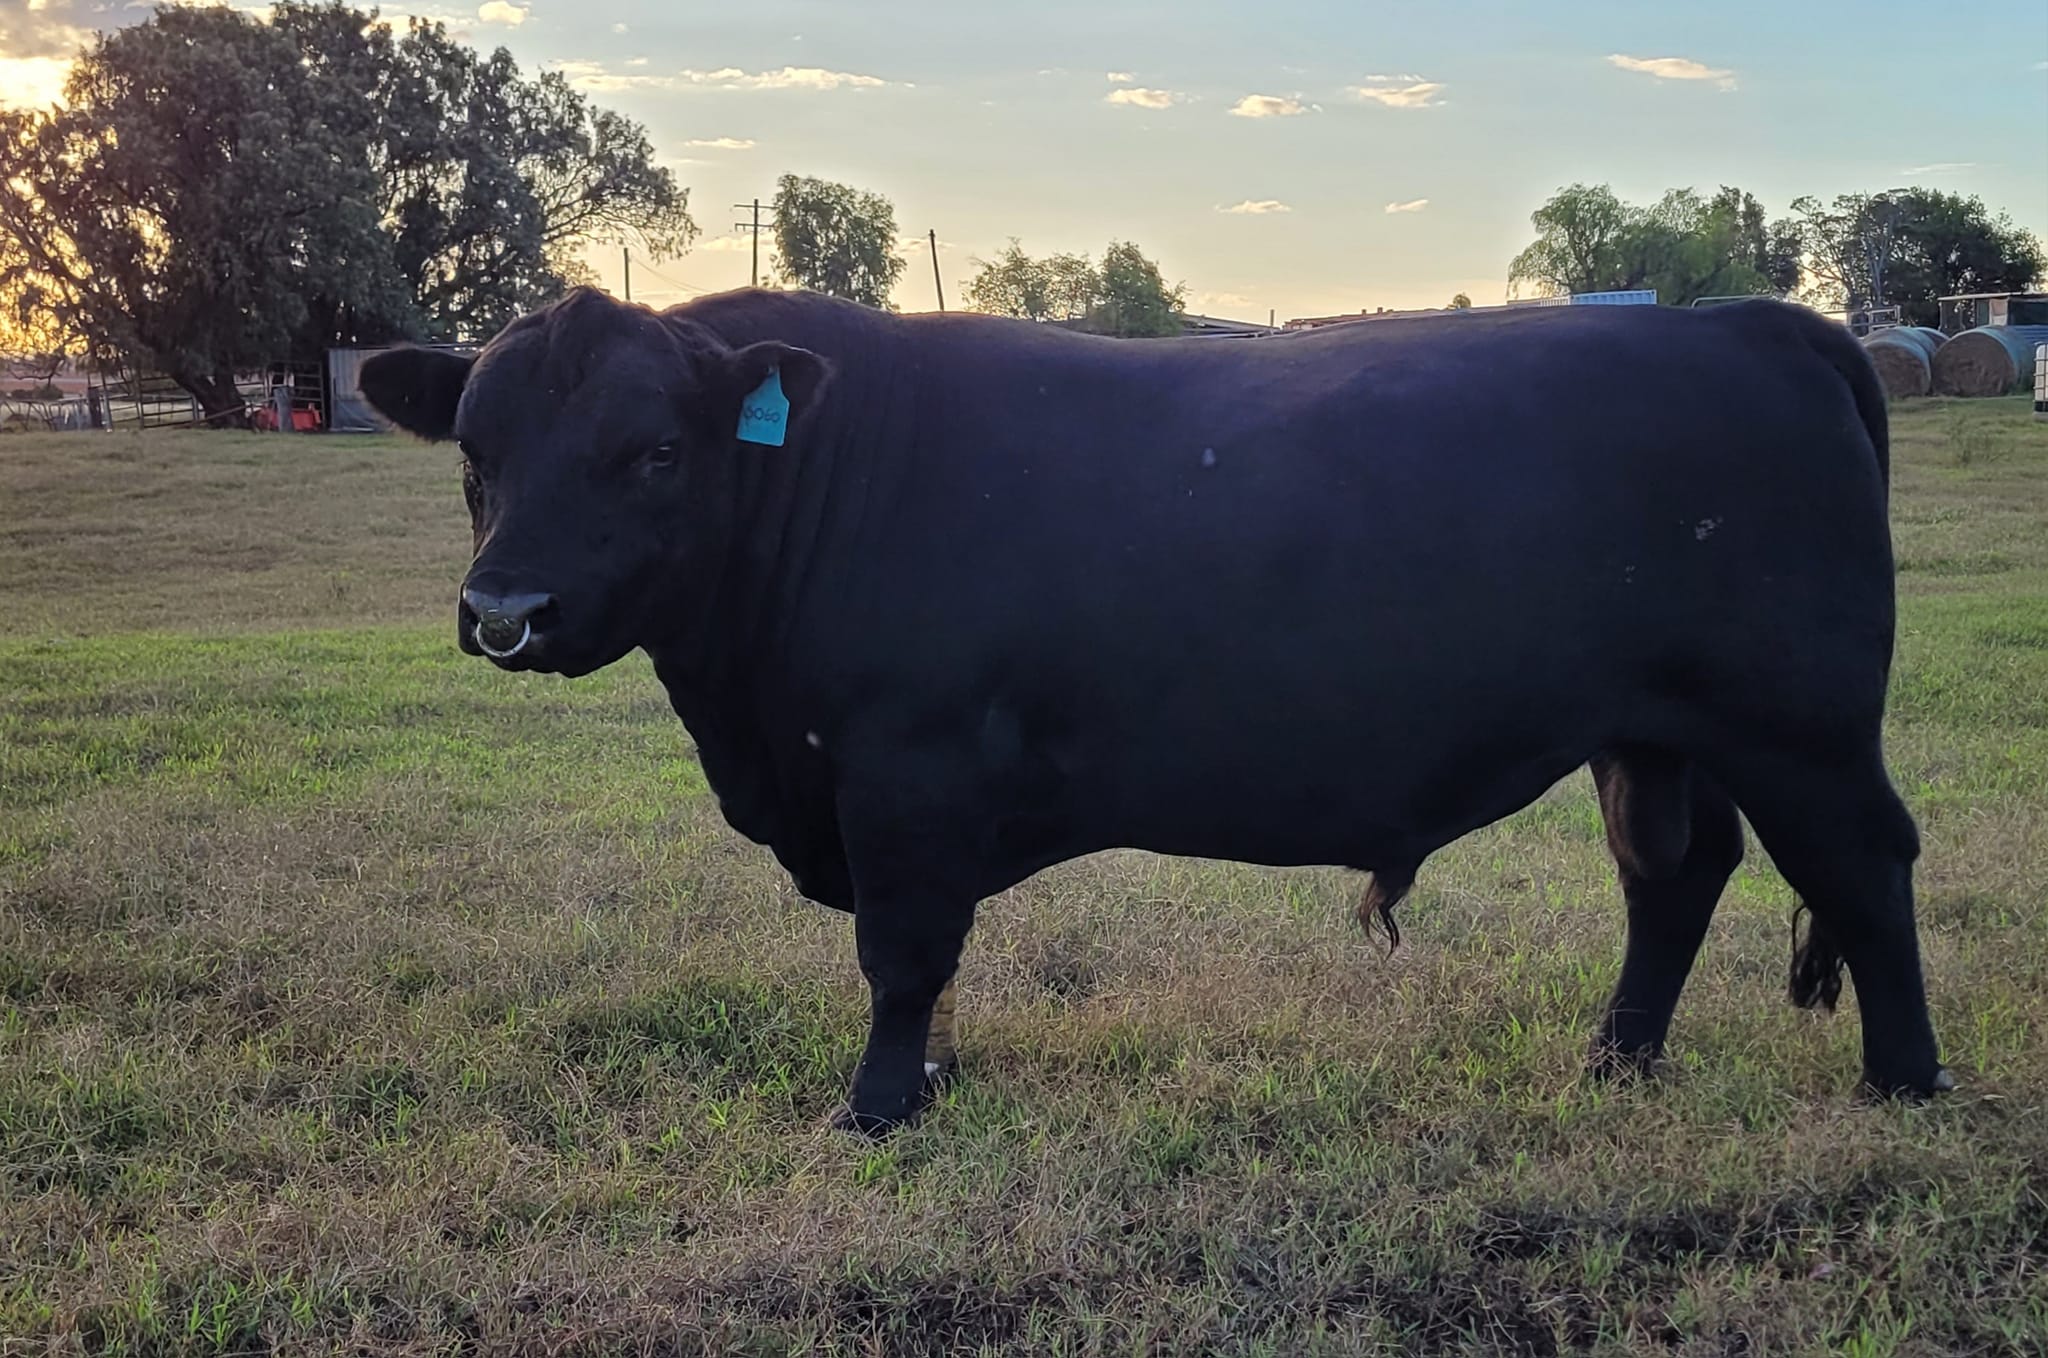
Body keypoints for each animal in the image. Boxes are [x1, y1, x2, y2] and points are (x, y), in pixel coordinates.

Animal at [358, 285, 1952, 1137]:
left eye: (650, 453)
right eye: (477, 449)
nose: (504, 611)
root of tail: (1754, 322)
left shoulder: (905, 771)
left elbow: (901, 952)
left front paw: (877, 1105)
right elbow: (929, 964)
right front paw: (929, 1076)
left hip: (1800, 728)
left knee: (1865, 872)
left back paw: (1905, 1083)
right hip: (1658, 732)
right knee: (1671, 874)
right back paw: (1614, 1063)